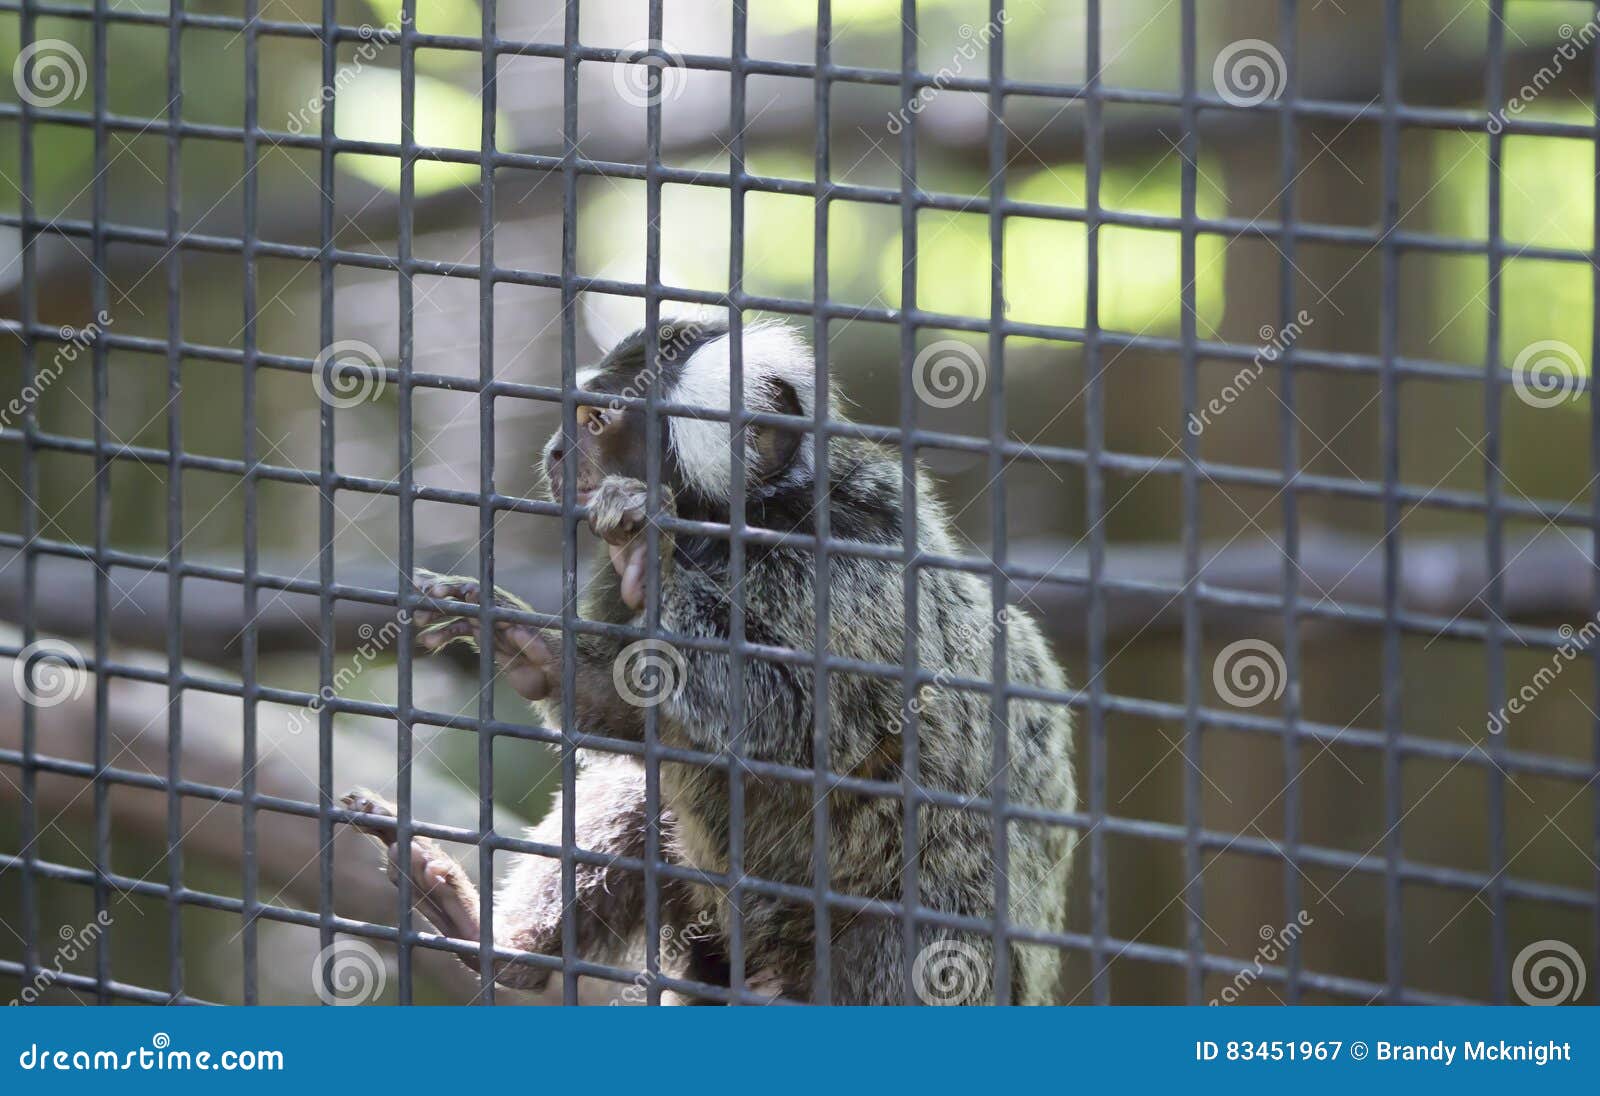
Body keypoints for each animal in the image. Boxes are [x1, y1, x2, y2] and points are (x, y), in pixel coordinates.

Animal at [342, 318, 1076, 1004]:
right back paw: (500, 948)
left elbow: (801, 724)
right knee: (646, 793)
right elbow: (631, 718)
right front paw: (531, 647)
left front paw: (651, 561)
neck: (736, 532)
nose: (553, 452)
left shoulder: (849, 577)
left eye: (594, 421)